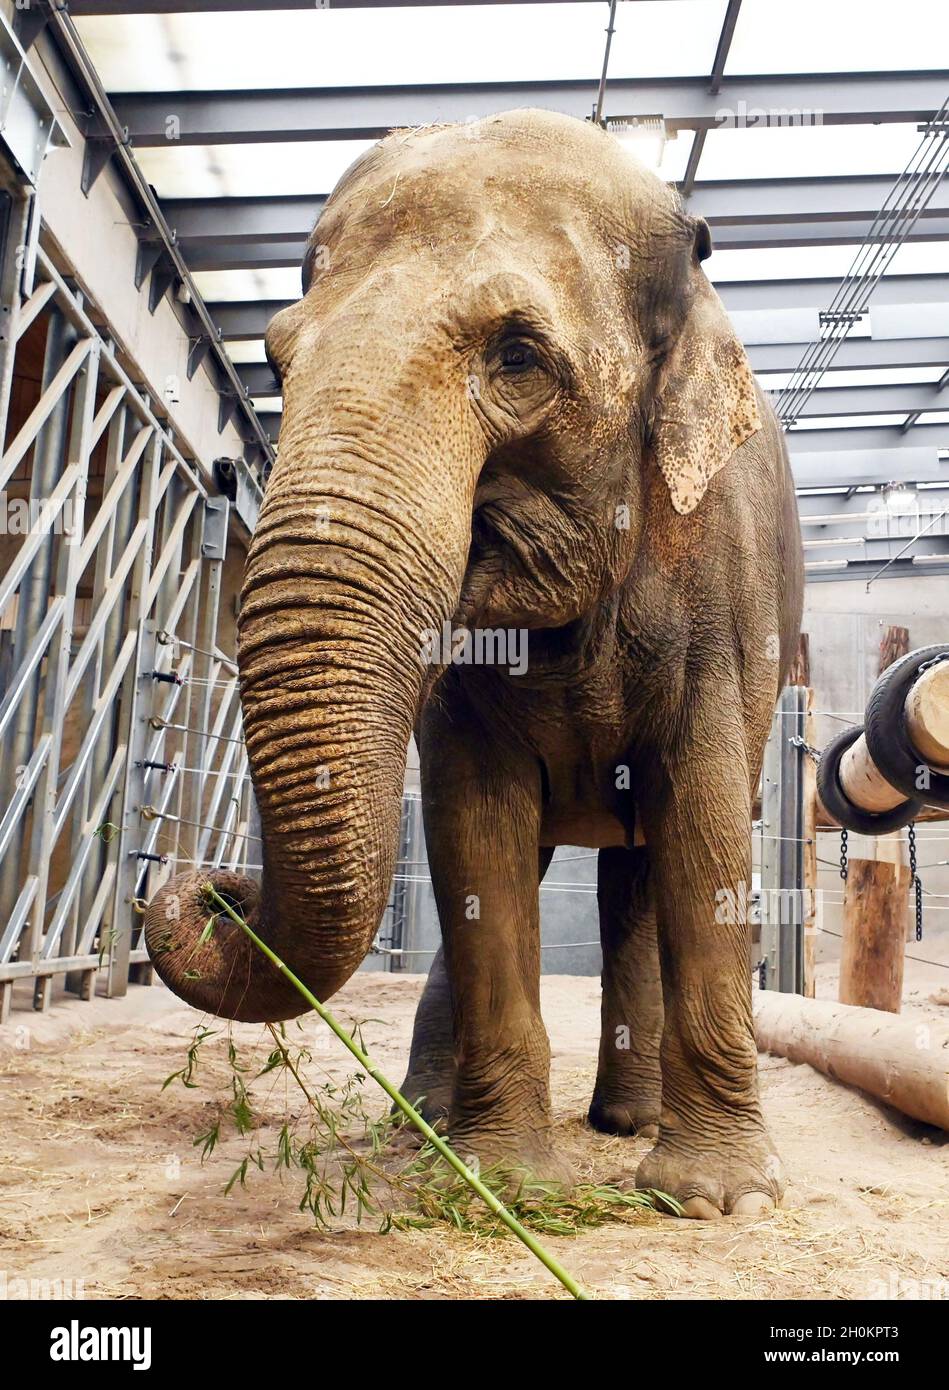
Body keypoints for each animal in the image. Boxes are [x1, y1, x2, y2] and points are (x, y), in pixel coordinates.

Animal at [144, 108, 803, 1219]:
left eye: (518, 357)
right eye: (275, 362)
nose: (216, 887)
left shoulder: (728, 587)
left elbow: (707, 822)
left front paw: (718, 1201)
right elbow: (474, 833)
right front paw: (504, 1183)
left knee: (638, 873)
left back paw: (626, 1126)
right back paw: (425, 1131)